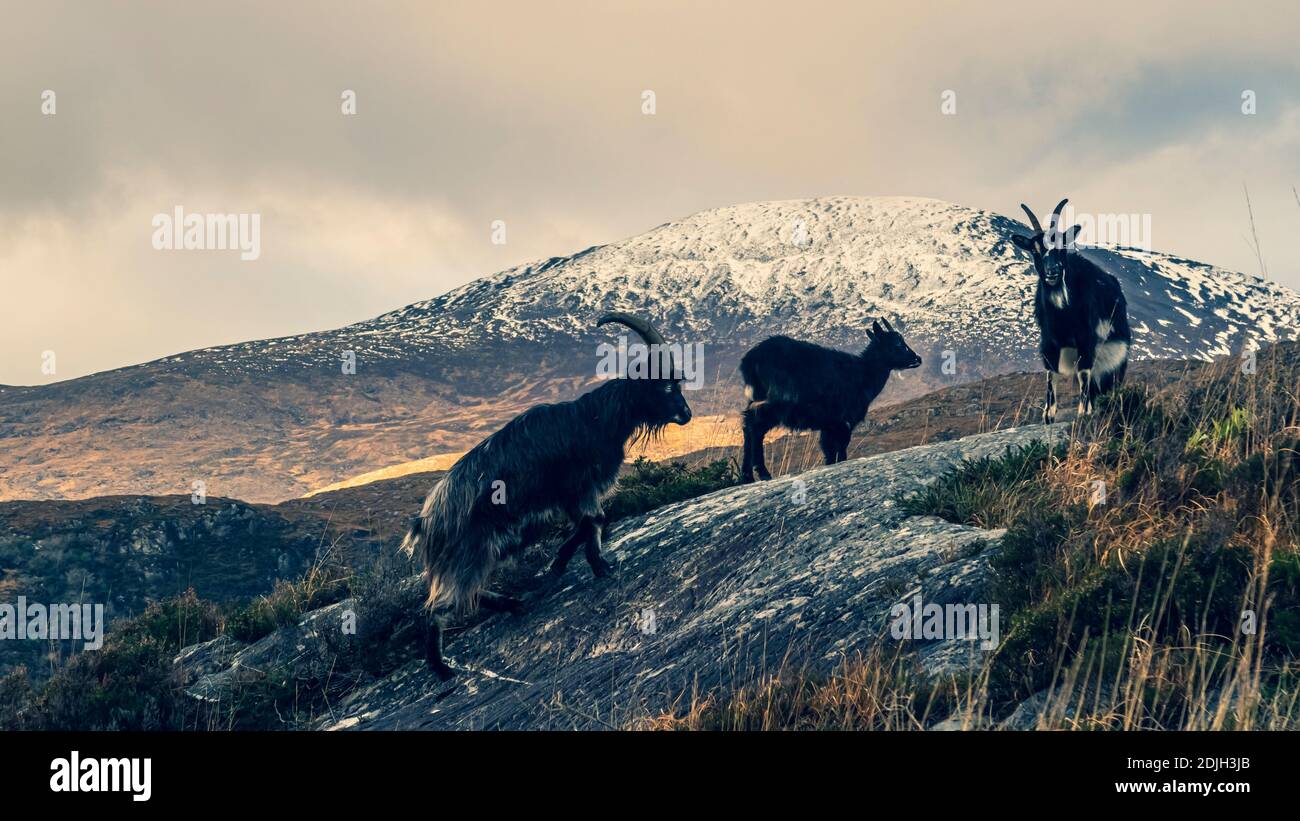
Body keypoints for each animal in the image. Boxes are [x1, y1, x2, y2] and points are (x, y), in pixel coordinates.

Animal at [400, 313, 693, 680]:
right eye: (666, 386)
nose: (687, 414)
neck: (595, 419)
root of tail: (425, 523)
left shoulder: (571, 497)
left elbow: (588, 524)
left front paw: (570, 564)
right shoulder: (579, 487)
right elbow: (594, 521)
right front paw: (594, 565)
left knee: (465, 594)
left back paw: (513, 604)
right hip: (468, 552)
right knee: (439, 605)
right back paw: (442, 668)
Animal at [738, 320, 922, 483]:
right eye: (897, 344)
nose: (918, 358)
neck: (862, 373)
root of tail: (750, 360)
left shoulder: (829, 424)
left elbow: (829, 451)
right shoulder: (844, 421)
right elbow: (840, 449)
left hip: (757, 399)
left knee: (748, 424)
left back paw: (746, 477)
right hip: (779, 402)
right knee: (756, 426)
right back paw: (762, 473)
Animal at [1012, 199, 1131, 423]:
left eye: (1061, 246)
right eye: (1035, 250)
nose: (1052, 272)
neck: (1064, 316)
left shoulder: (1087, 339)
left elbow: (1084, 373)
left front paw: (1083, 411)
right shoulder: (1049, 342)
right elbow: (1051, 374)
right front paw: (1048, 414)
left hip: (1115, 354)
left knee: (1104, 379)